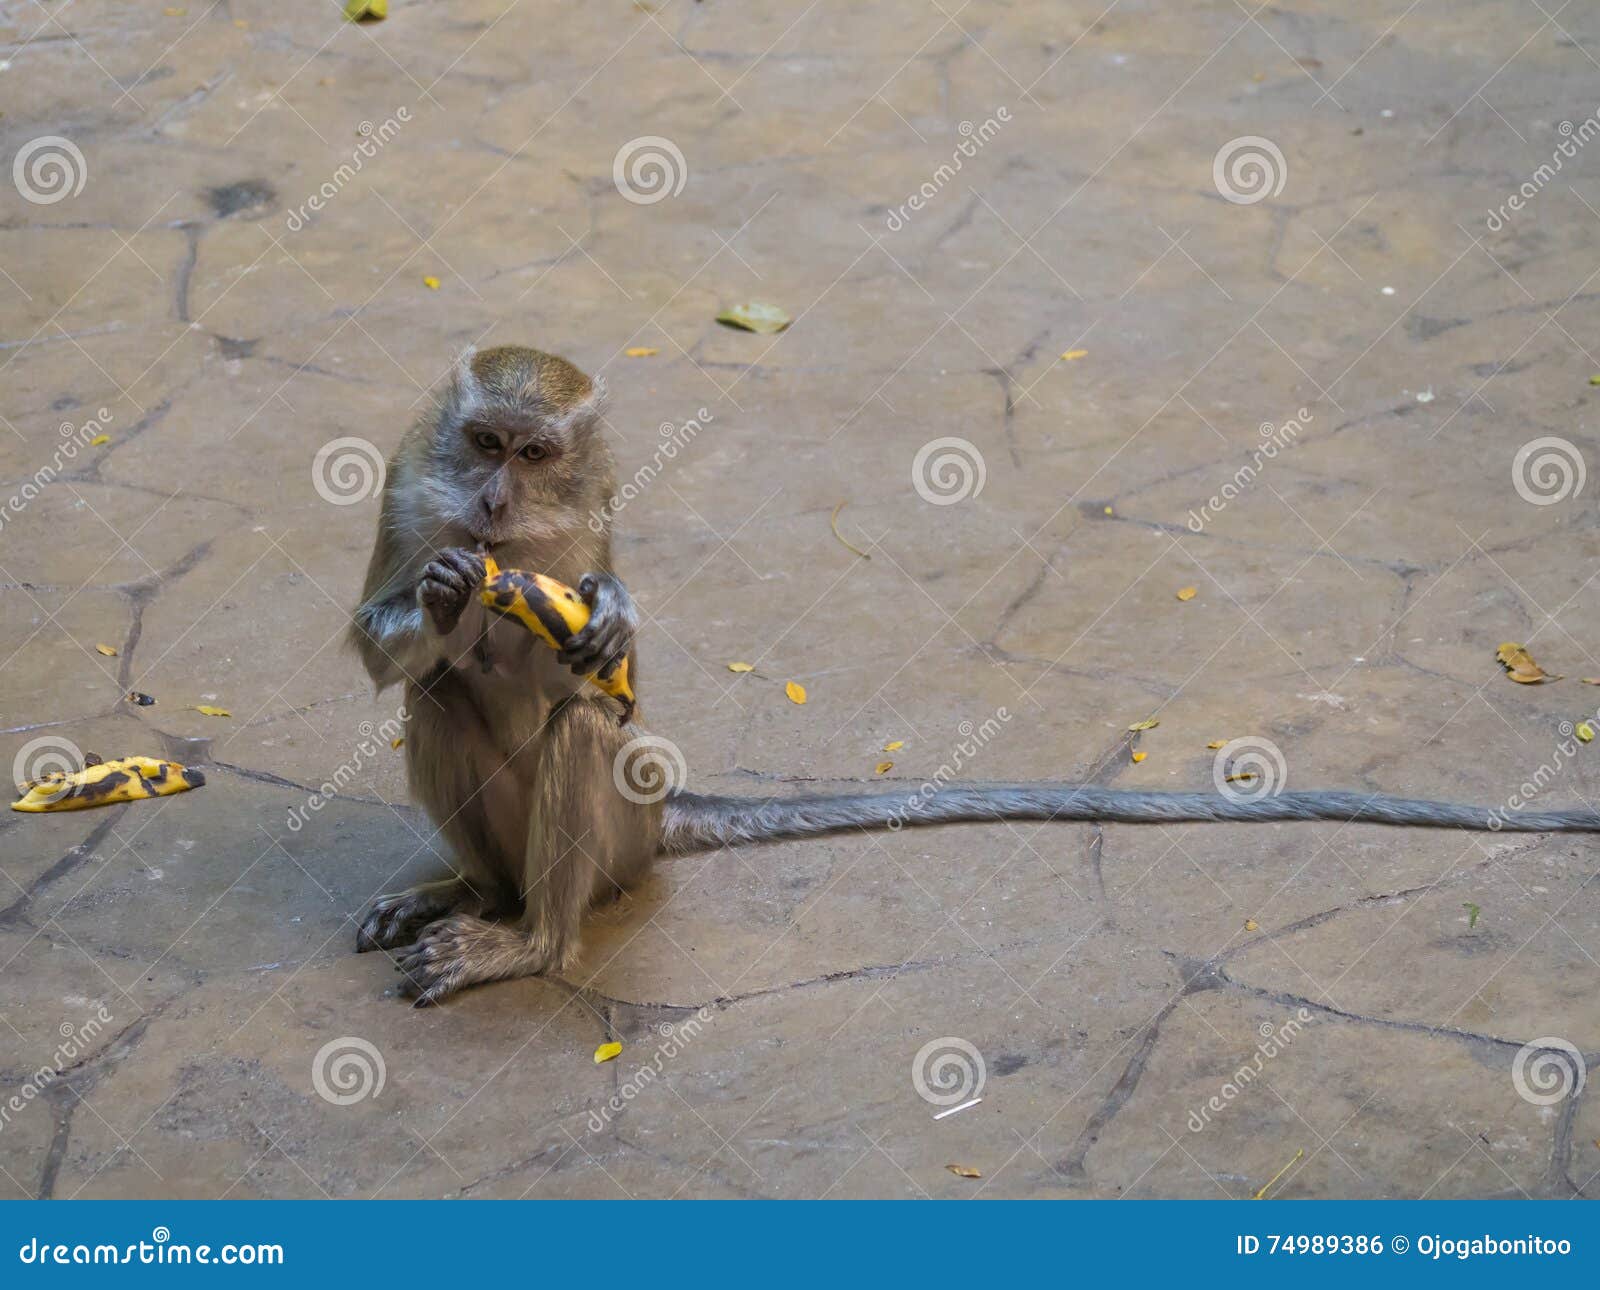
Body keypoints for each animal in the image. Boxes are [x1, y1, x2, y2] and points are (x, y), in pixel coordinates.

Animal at [349, 344, 1600, 1006]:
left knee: (580, 731)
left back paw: (533, 942)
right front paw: (444, 595)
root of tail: (659, 828)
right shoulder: (411, 479)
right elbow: (375, 639)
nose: (493, 502)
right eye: (482, 443)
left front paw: (607, 612)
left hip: (620, 837)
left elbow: (610, 679)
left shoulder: (591, 509)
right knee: (436, 691)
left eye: (535, 452)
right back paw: (476, 895)